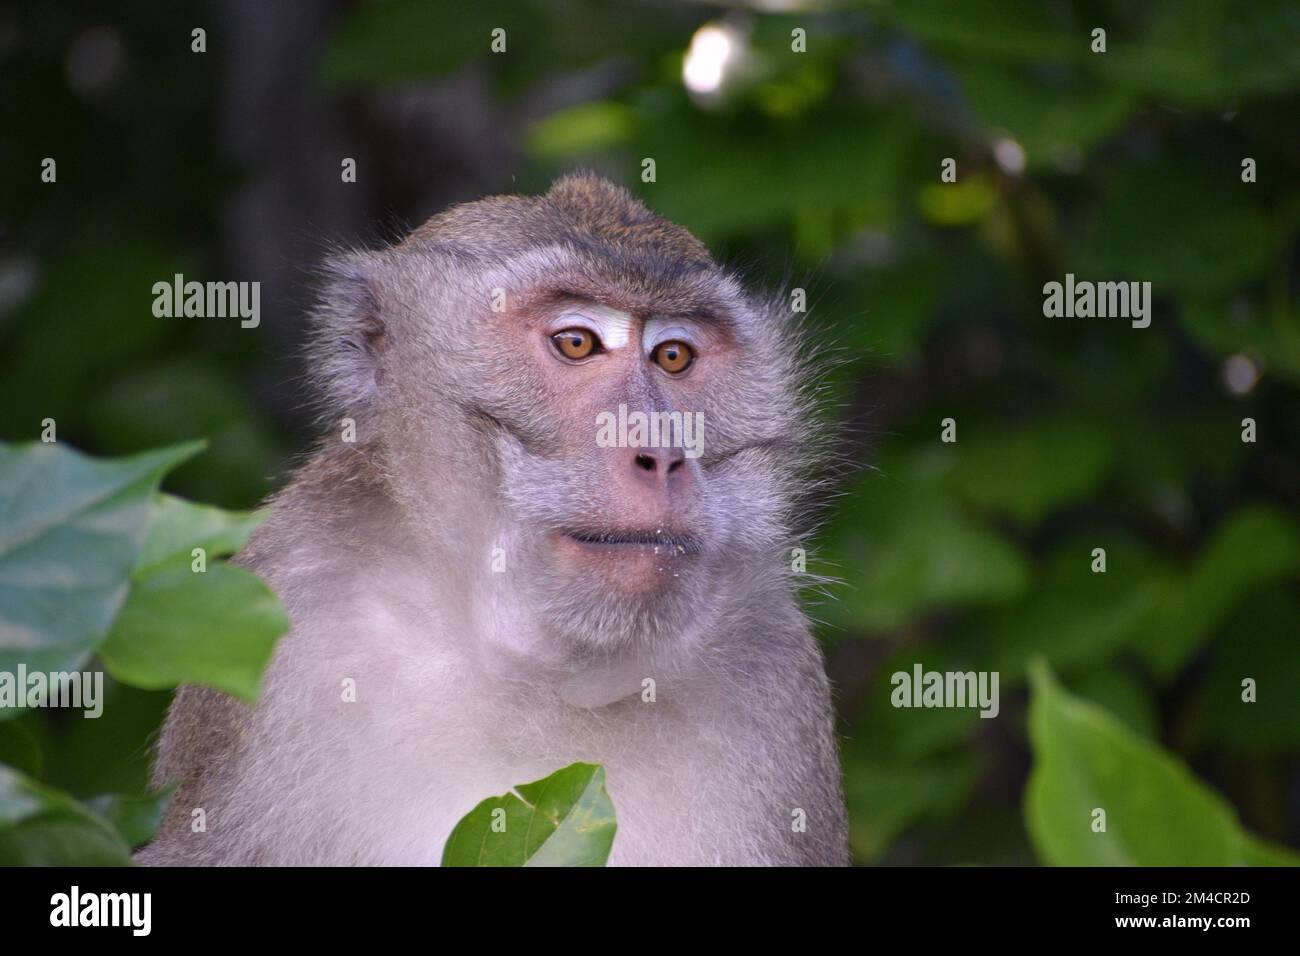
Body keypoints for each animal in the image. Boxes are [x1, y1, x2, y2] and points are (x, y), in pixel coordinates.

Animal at [137, 173, 849, 866]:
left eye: (673, 357)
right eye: (576, 343)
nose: (662, 453)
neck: (539, 670)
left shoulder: (772, 665)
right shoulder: (291, 599)